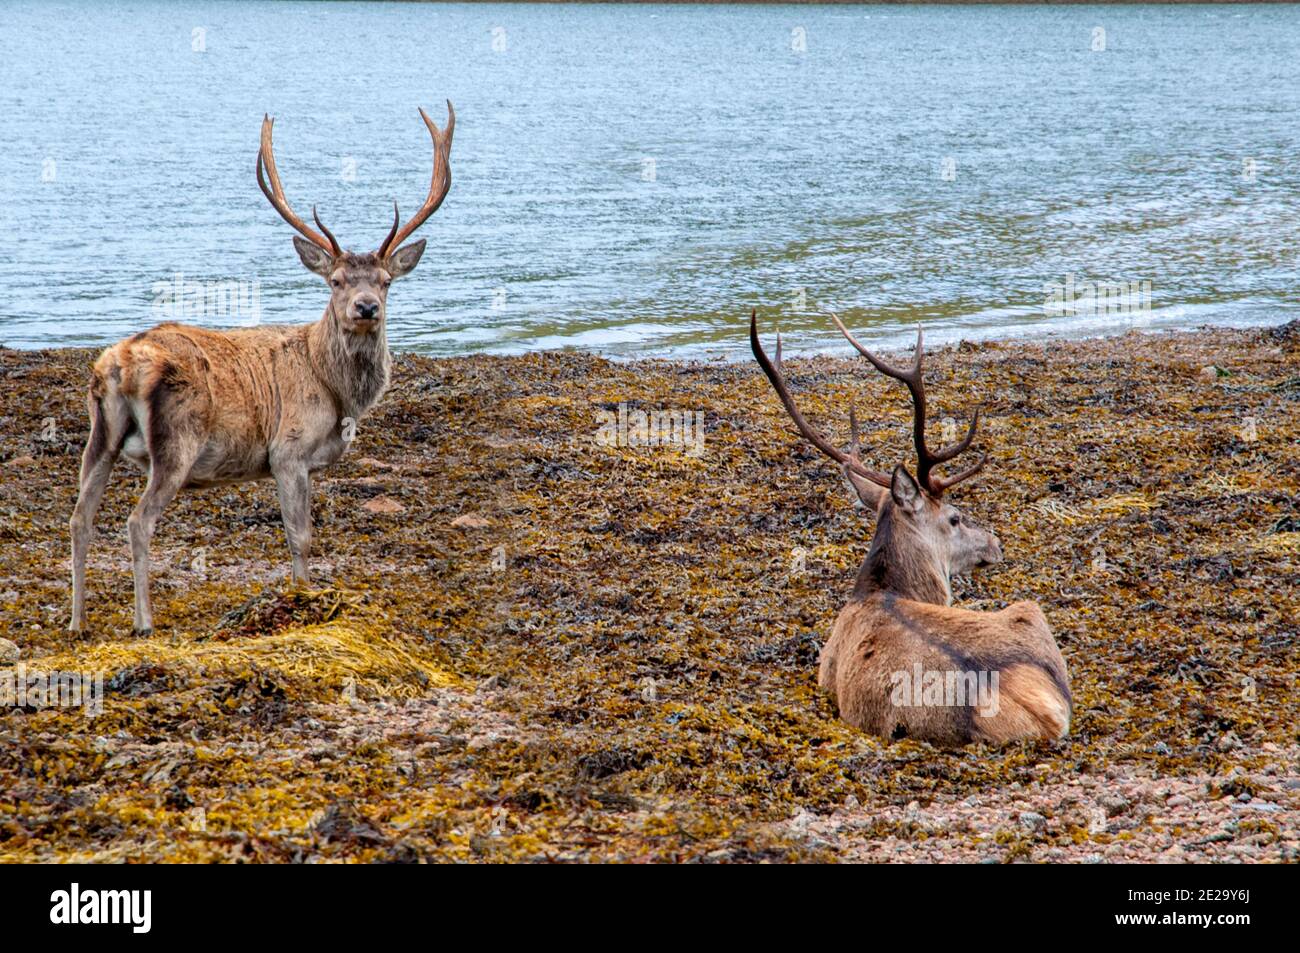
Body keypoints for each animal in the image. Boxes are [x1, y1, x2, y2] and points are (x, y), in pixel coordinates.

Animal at [69, 103, 455, 635]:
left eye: (385, 280)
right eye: (335, 280)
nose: (366, 307)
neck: (336, 392)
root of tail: (122, 365)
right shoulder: (287, 451)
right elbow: (300, 536)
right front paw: (304, 598)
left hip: (100, 433)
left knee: (79, 518)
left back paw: (77, 621)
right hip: (177, 441)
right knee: (137, 520)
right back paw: (144, 621)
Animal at [750, 310, 1071, 745]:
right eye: (954, 516)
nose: (994, 542)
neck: (882, 590)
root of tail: (1041, 712)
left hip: (1027, 611)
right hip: (1028, 611)